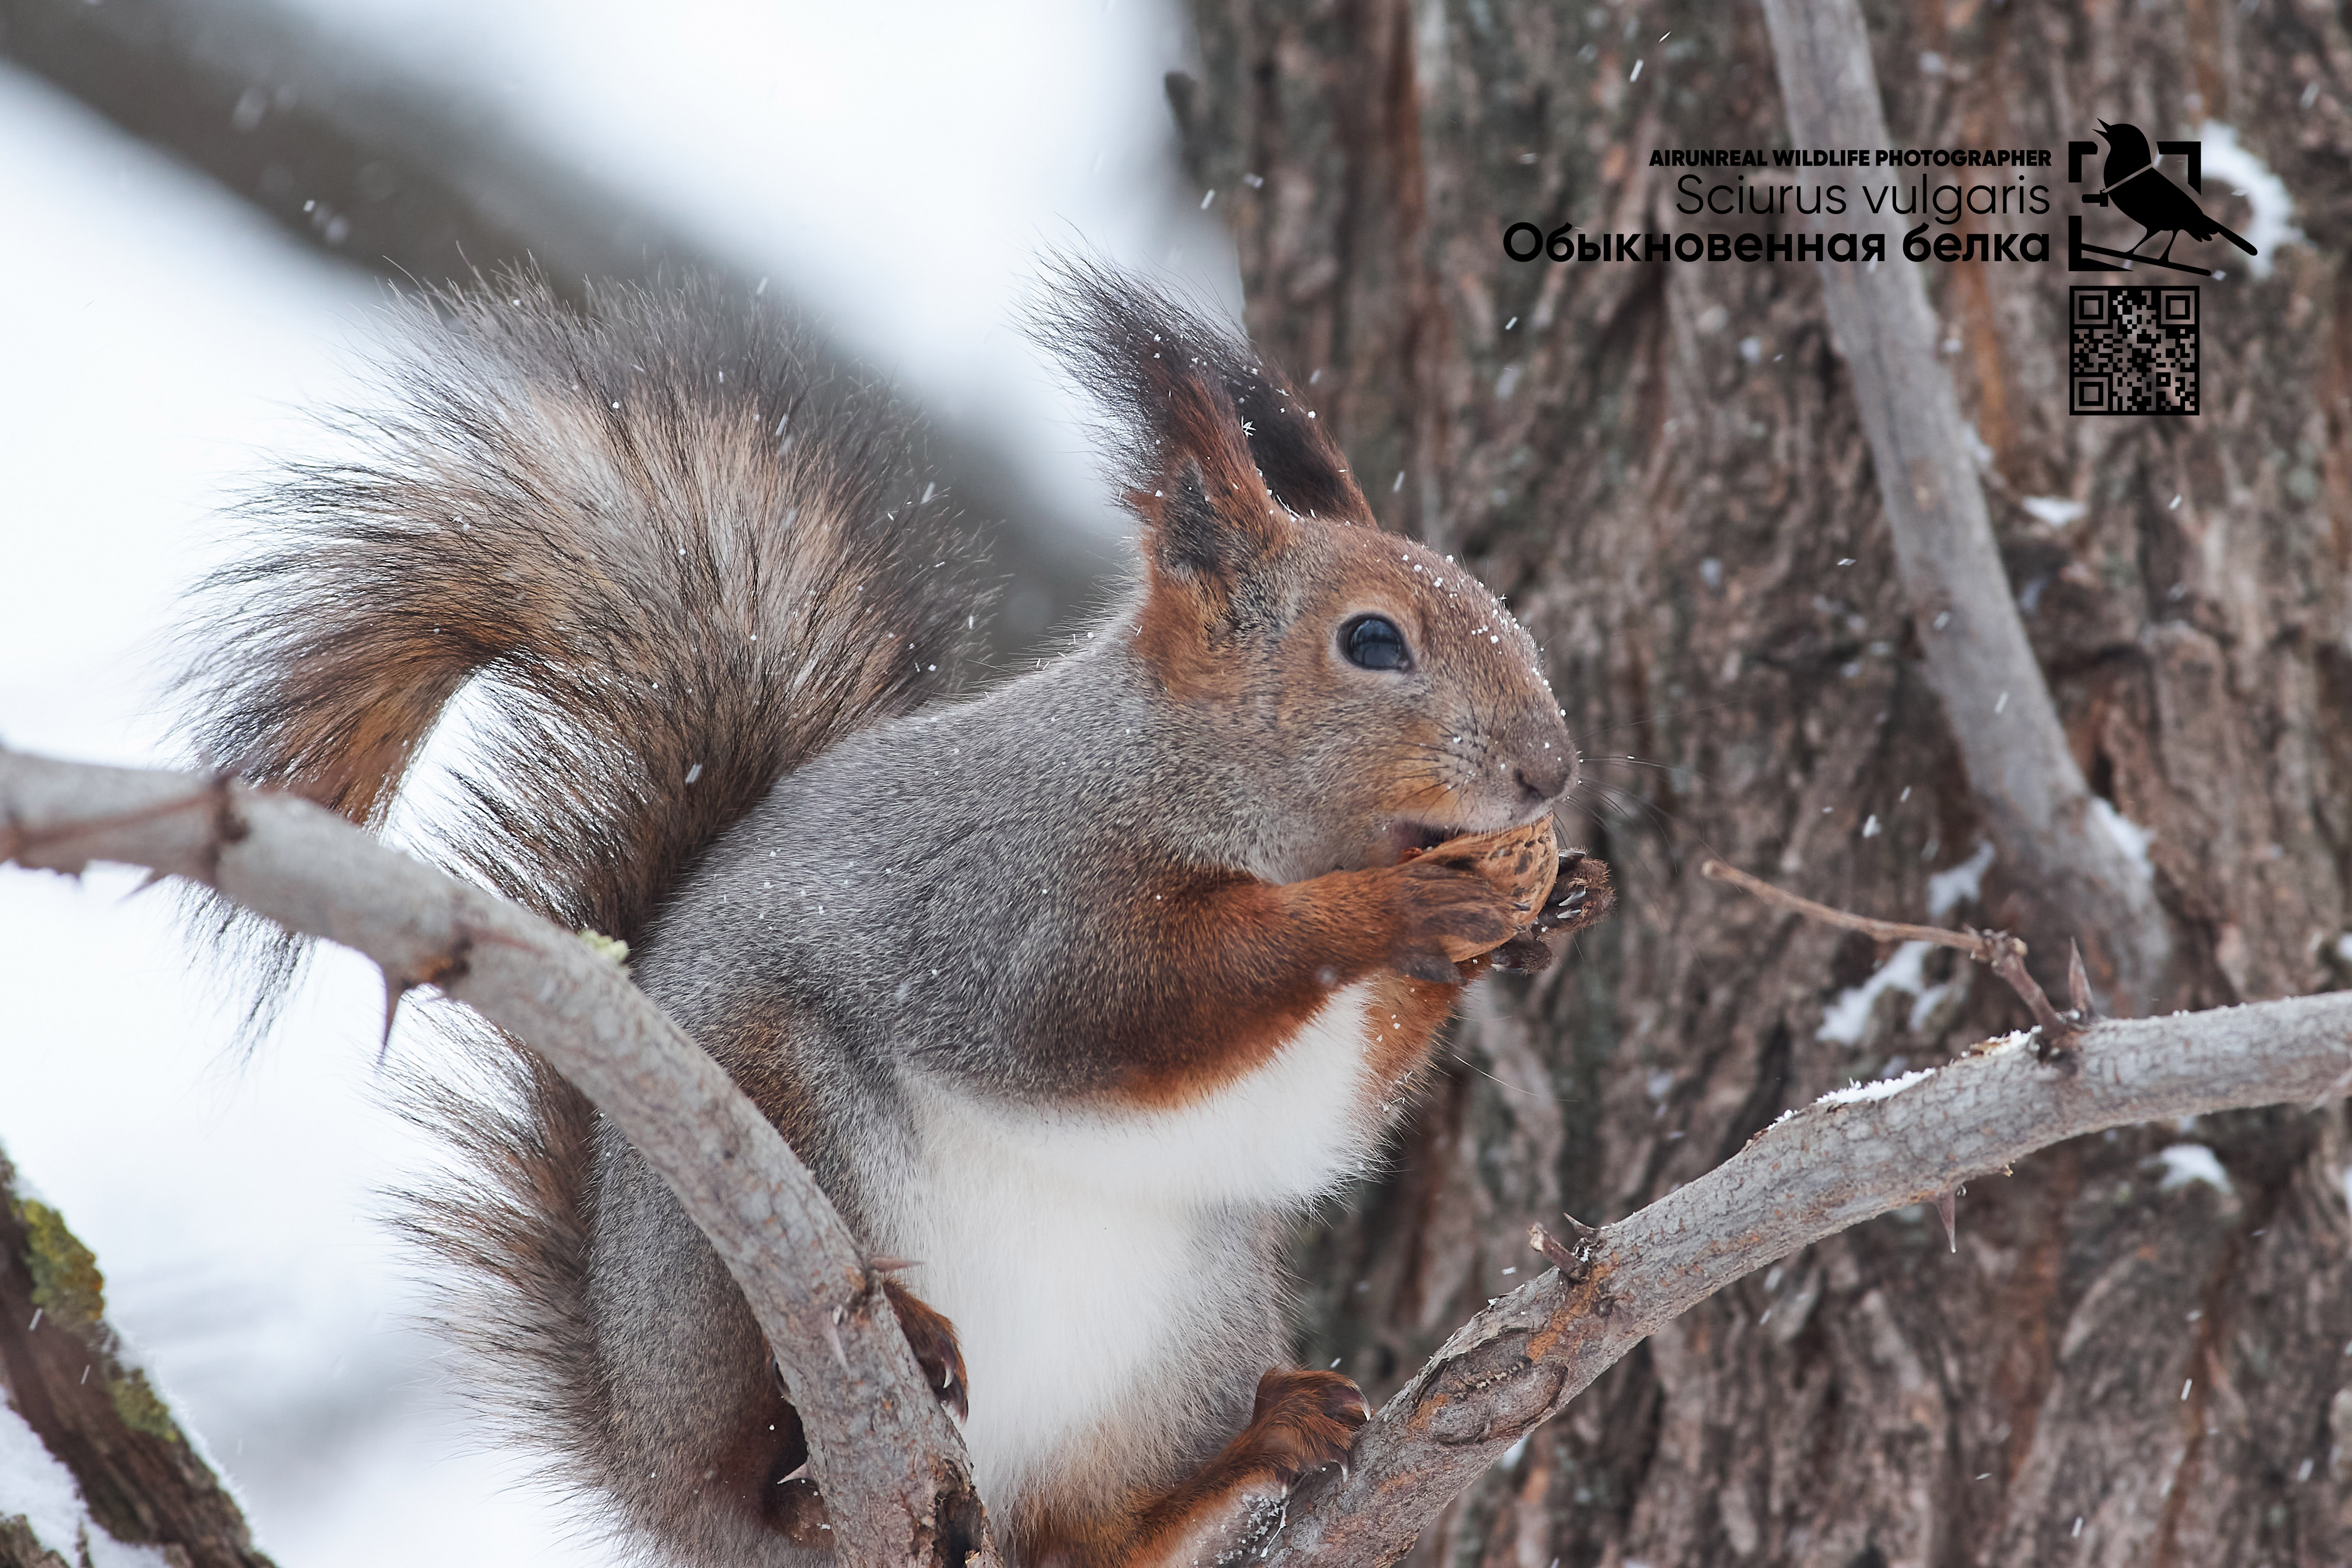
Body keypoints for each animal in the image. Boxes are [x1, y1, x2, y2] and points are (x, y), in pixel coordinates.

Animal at [178, 263, 1618, 1561]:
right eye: (1373, 642)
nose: (1550, 767)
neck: (1185, 776)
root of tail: (654, 1476)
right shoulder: (1012, 894)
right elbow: (1119, 1010)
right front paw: (1405, 901)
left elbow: (1309, 1113)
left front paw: (1544, 906)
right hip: (765, 1176)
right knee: (769, 1449)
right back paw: (830, 1441)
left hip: (1184, 1331)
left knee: (1079, 1542)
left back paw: (1247, 1451)